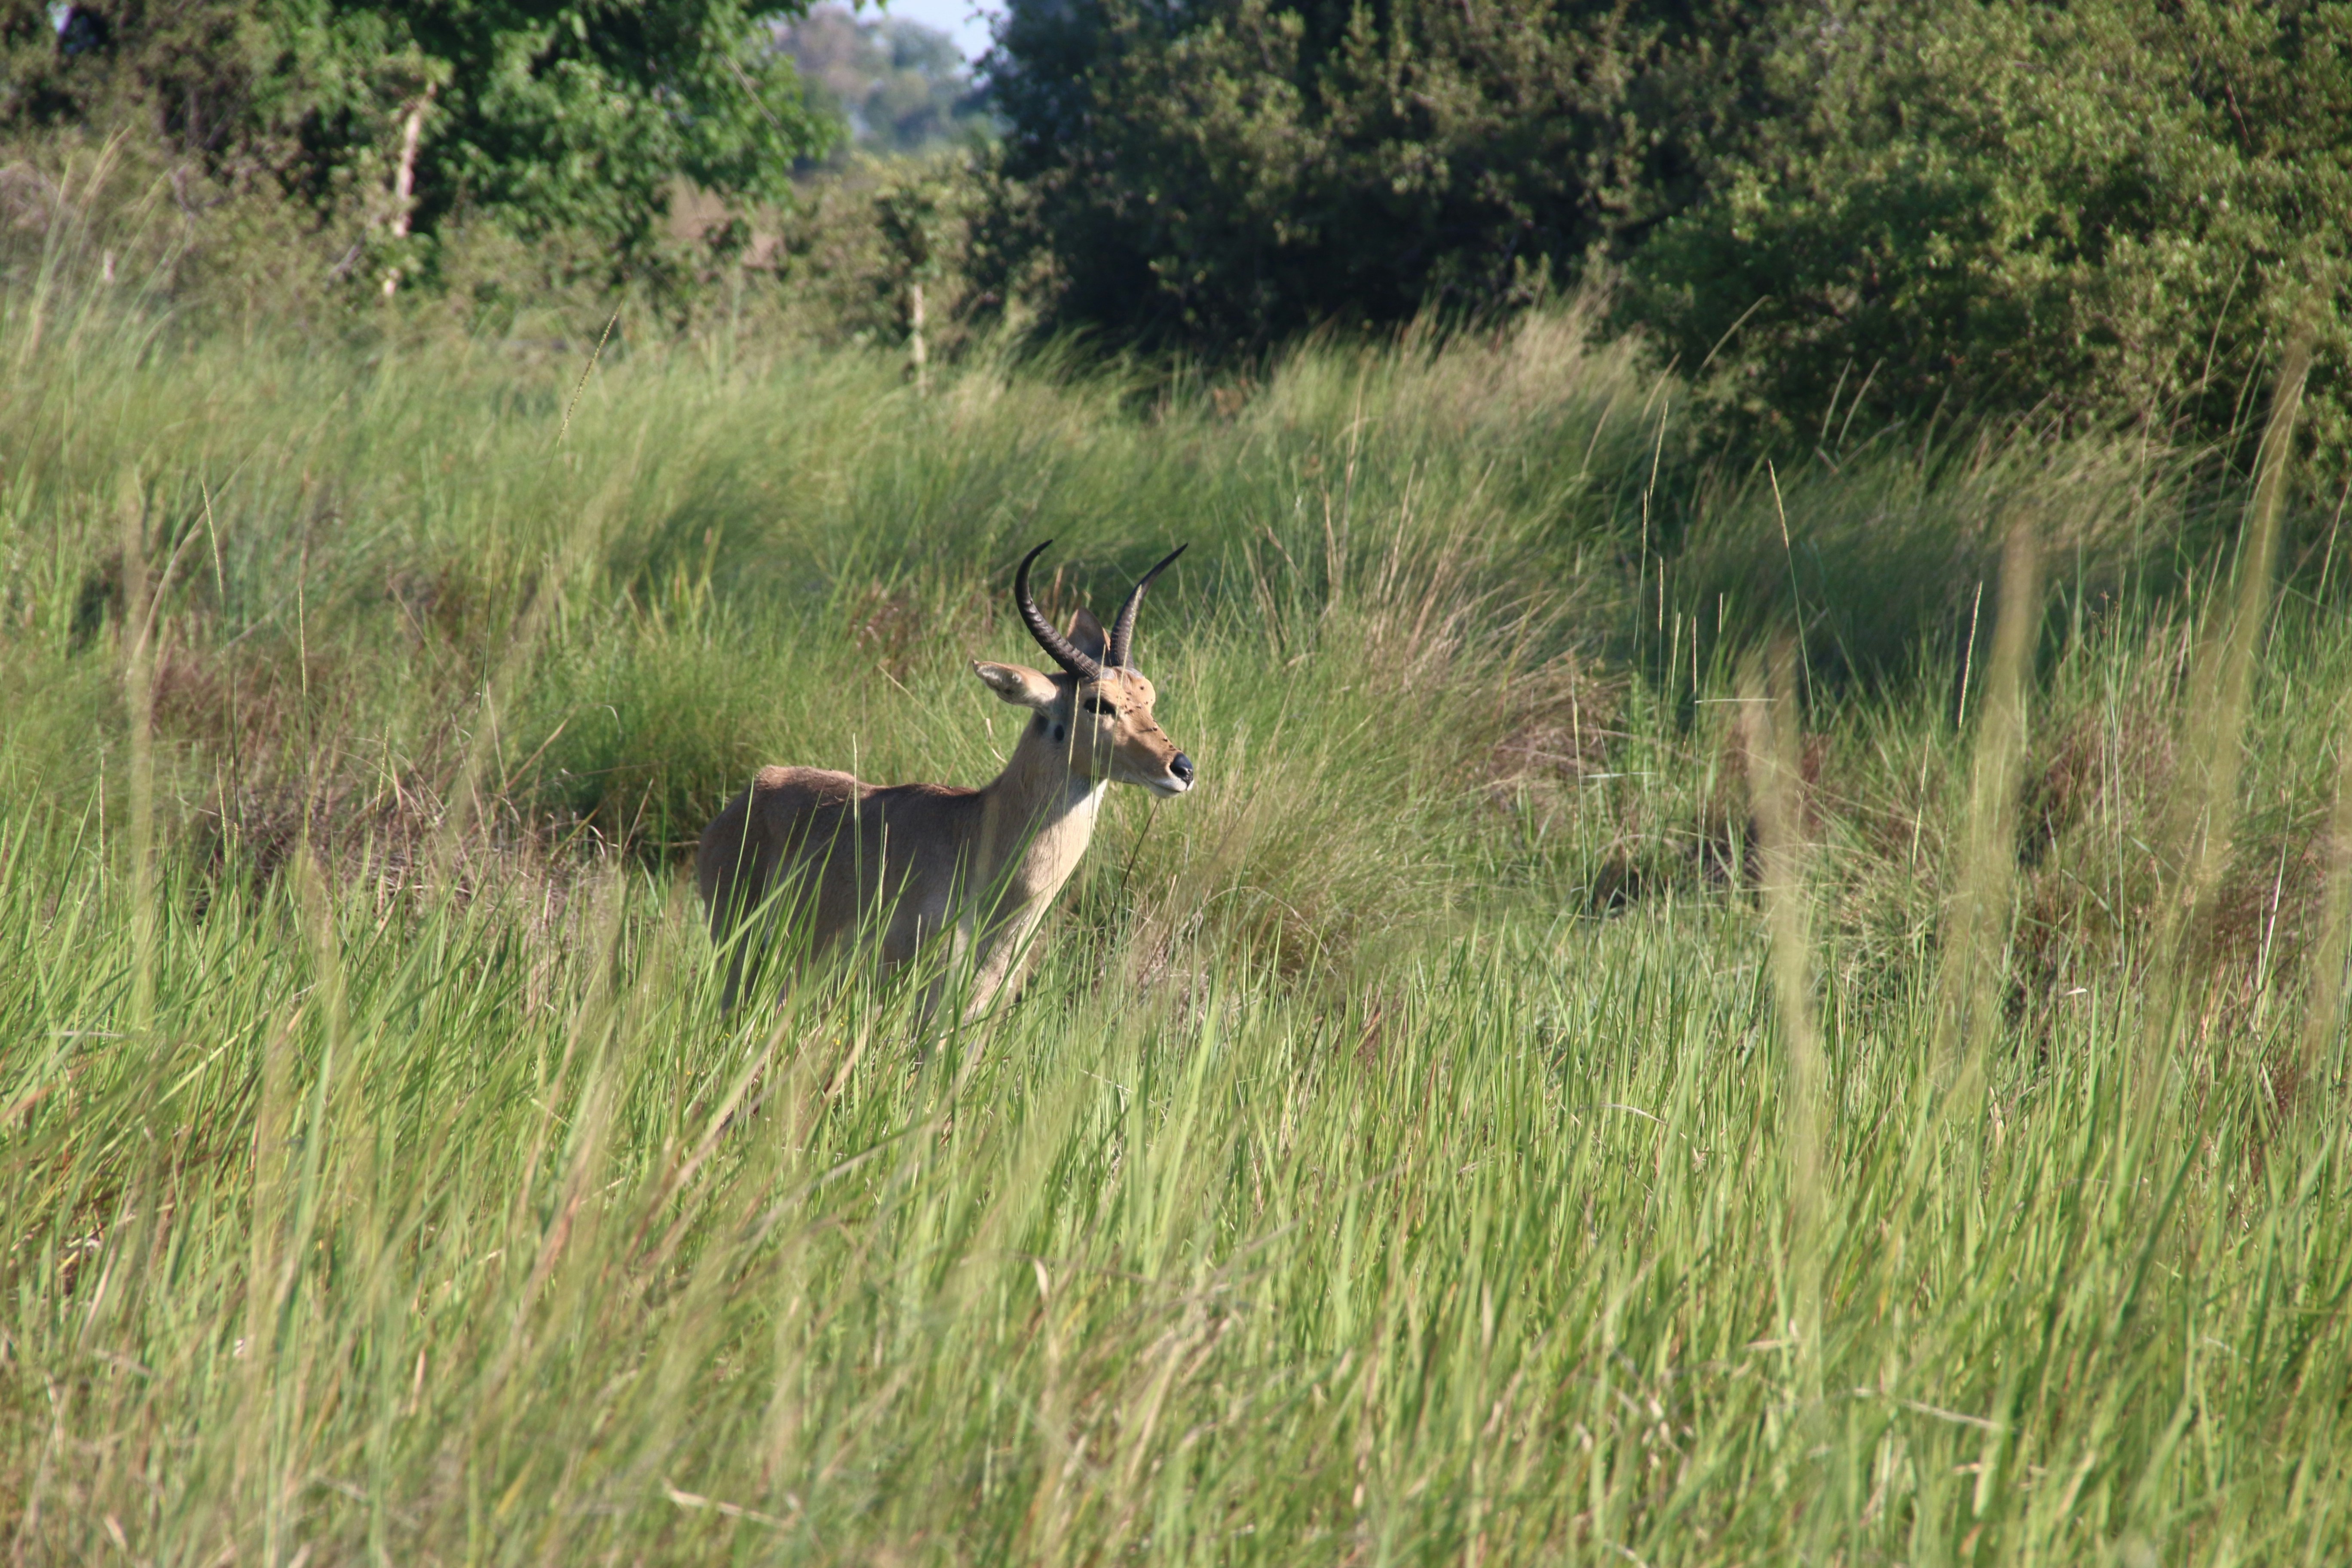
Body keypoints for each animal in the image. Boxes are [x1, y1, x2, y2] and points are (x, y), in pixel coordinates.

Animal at [696, 540, 1195, 1017]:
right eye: (1098, 704)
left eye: (1147, 694)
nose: (1182, 768)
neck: (977, 835)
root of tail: (753, 791)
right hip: (741, 958)